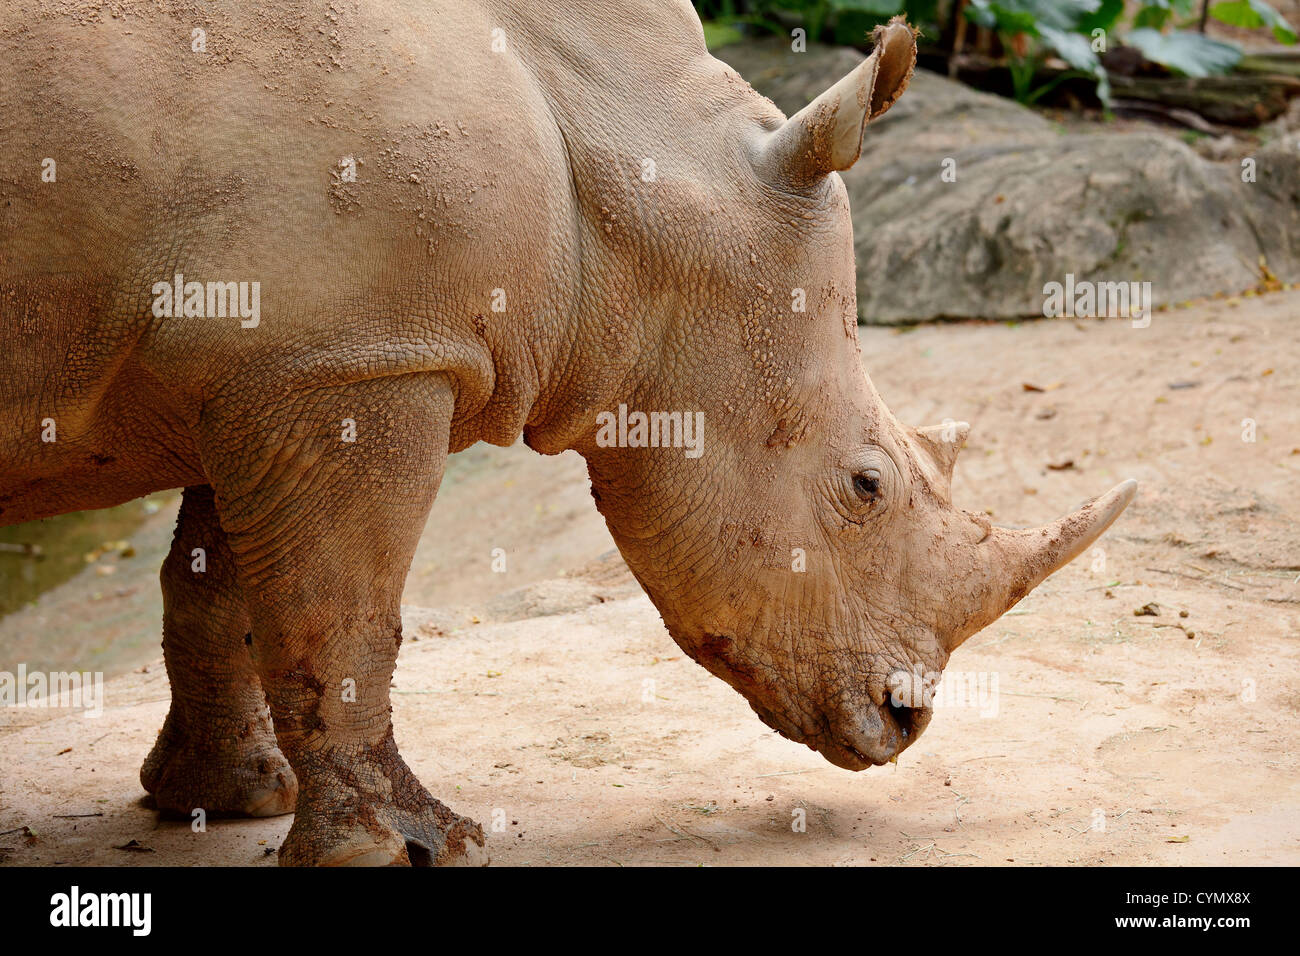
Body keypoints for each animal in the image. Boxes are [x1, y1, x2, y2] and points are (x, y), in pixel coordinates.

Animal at [0, 1, 1135, 865]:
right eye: (865, 487)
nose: (906, 722)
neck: (629, 169)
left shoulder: (274, 357)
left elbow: (225, 590)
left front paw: (234, 799)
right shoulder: (361, 358)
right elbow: (344, 612)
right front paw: (409, 848)